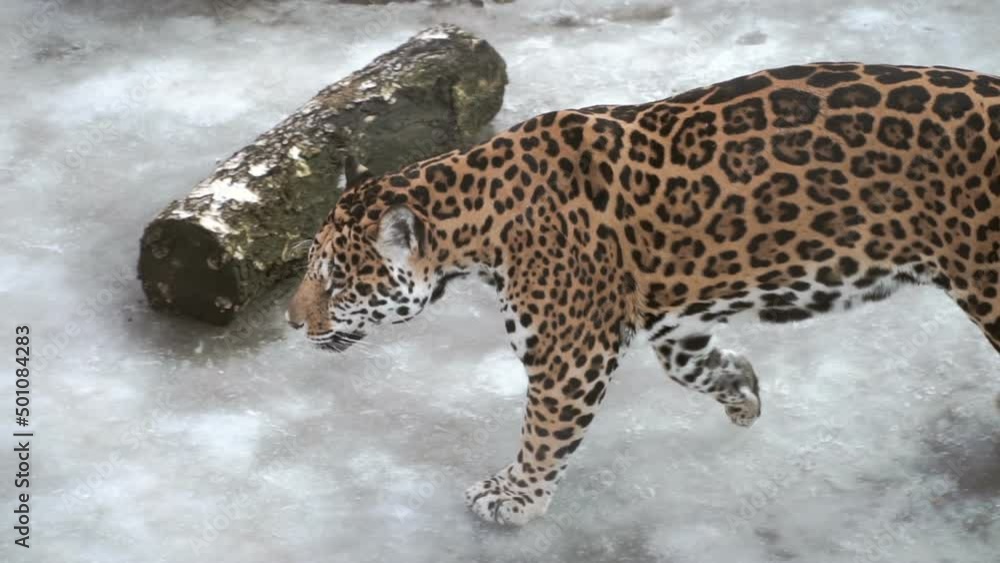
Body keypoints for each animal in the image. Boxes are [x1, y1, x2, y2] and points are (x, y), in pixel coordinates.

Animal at [286, 62, 1000, 526]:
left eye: (336, 278)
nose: (292, 324)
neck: (479, 215)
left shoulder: (570, 355)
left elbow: (542, 435)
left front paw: (515, 498)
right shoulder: (675, 321)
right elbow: (695, 368)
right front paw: (744, 391)